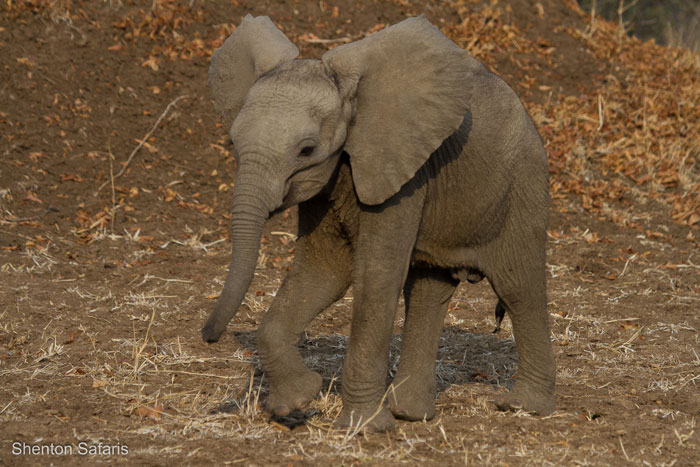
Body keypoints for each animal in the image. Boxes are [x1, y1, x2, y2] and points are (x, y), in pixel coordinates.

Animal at [201, 14, 555, 432]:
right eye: (233, 143)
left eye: (306, 150)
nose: (208, 336)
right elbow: (321, 271)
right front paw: (297, 400)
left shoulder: (401, 175)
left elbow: (376, 275)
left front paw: (364, 427)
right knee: (428, 291)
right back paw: (411, 413)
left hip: (522, 184)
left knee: (519, 286)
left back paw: (522, 406)